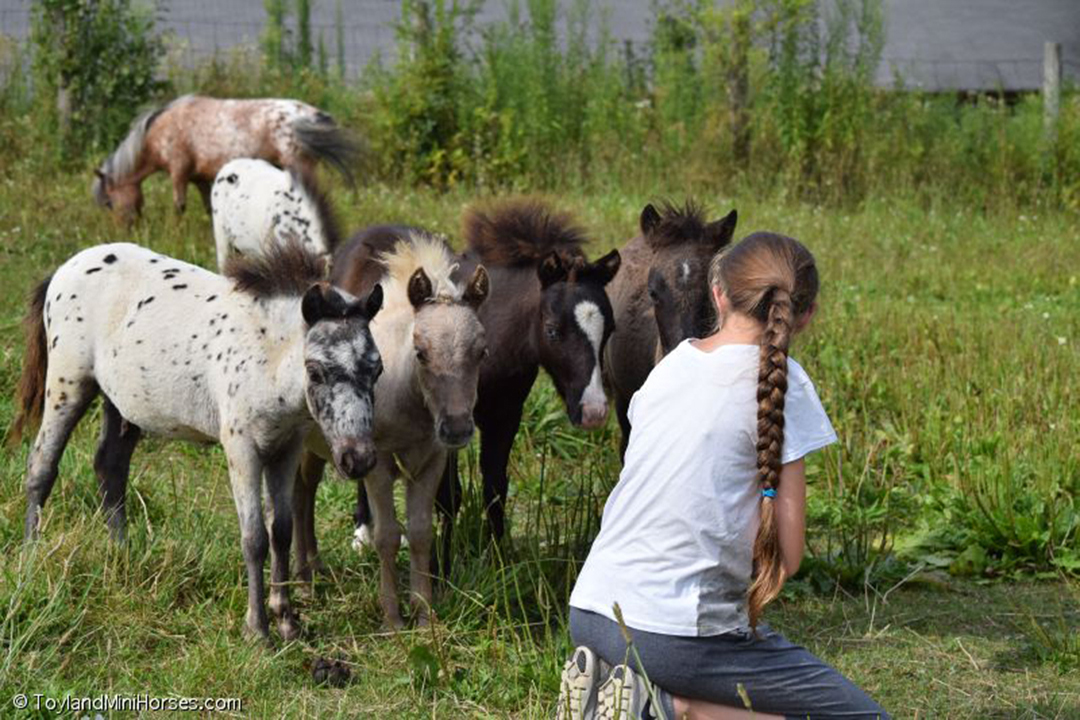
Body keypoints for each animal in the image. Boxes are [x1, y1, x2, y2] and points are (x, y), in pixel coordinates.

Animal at [10, 241, 383, 644]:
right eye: (315, 370)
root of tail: (65, 269)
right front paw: (257, 630)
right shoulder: (242, 450)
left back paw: (123, 555)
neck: (263, 352)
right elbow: (254, 538)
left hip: (120, 401)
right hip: (67, 384)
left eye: (377, 370)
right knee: (42, 466)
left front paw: (287, 620)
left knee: (110, 467)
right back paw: (30, 558)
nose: (358, 459)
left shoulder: (286, 449)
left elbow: (281, 531)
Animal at [92, 94, 359, 224]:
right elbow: (209, 209)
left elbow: (179, 207)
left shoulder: (178, 173)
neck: (158, 132)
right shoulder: (199, 179)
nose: (123, 229)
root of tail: (313, 115)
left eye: (109, 203)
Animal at [292, 232, 489, 629]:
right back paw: (303, 582)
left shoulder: (431, 461)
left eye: (481, 352)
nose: (456, 428)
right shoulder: (377, 464)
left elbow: (420, 532)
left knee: (306, 490)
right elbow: (386, 535)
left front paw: (424, 616)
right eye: (421, 352)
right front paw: (393, 620)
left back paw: (315, 569)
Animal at [350, 199, 621, 571]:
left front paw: (497, 564)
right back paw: (363, 532)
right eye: (552, 330)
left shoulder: (504, 415)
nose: (594, 411)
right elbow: (449, 497)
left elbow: (496, 489)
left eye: (610, 330)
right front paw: (442, 569)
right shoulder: (446, 422)